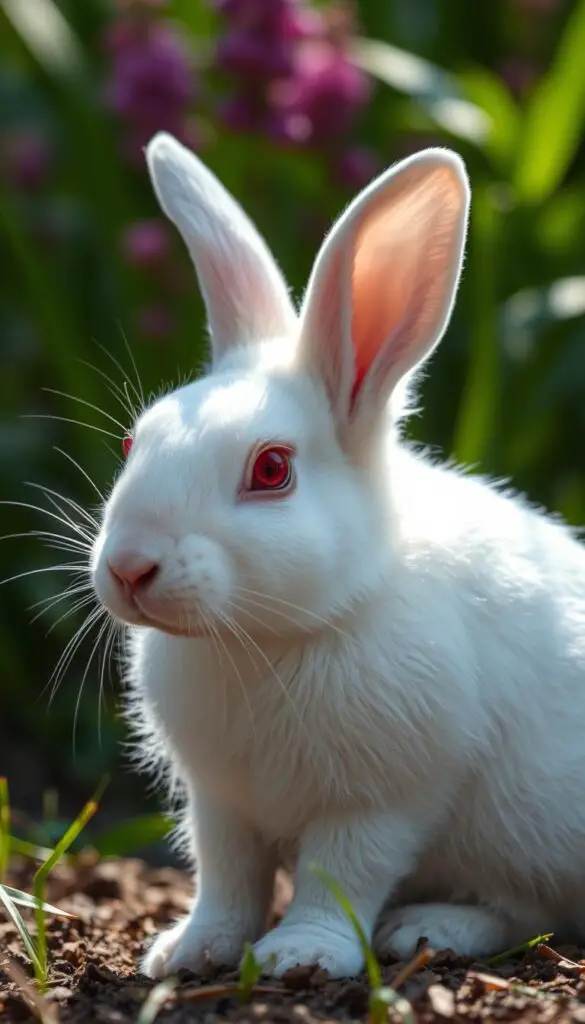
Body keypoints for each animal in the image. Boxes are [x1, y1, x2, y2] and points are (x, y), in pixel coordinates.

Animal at [91, 130, 585, 982]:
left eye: (270, 470)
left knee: (530, 908)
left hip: (532, 823)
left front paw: (300, 957)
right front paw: (190, 951)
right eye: (133, 441)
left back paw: (429, 928)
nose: (128, 567)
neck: (268, 637)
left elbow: (338, 876)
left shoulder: (380, 800)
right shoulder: (219, 802)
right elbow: (227, 876)